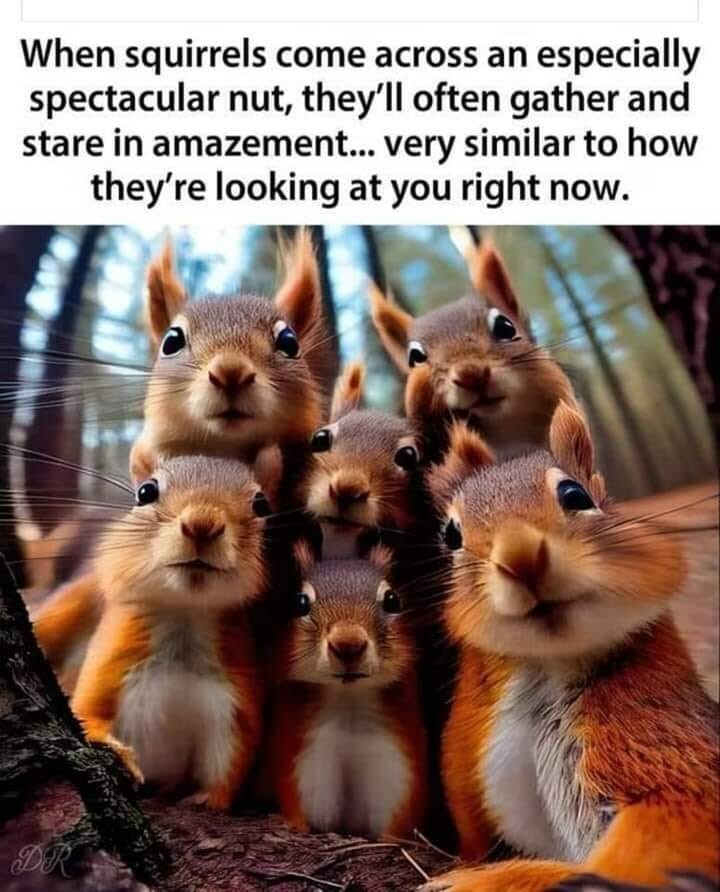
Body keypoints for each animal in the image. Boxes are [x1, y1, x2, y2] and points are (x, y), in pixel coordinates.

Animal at [70, 453, 270, 808]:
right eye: (145, 492)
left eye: (261, 504)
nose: (202, 523)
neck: (183, 613)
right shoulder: (109, 668)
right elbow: (87, 714)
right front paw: (119, 754)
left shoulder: (233, 705)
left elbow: (230, 767)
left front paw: (207, 799)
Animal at [265, 540, 427, 838]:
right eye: (299, 602)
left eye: (392, 600)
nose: (348, 643)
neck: (348, 699)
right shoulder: (303, 767)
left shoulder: (399, 776)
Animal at [418, 405, 719, 892]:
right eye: (451, 535)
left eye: (575, 495)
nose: (520, 557)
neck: (548, 664)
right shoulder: (467, 764)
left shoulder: (673, 753)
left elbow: (656, 842)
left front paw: (483, 879)